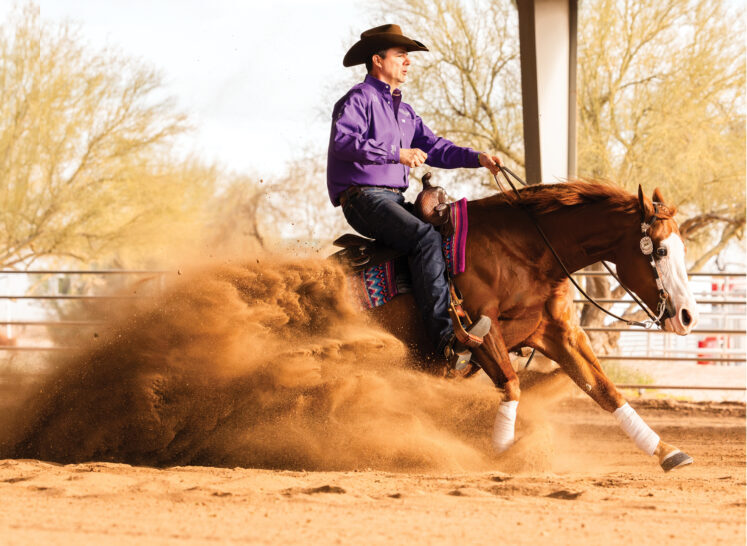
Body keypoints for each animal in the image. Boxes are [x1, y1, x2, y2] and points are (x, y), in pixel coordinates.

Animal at [367, 180, 699, 471]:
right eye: (661, 251)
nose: (688, 316)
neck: (526, 253)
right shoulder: (481, 331)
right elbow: (512, 385)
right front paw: (506, 452)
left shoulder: (560, 335)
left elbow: (605, 390)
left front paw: (665, 450)